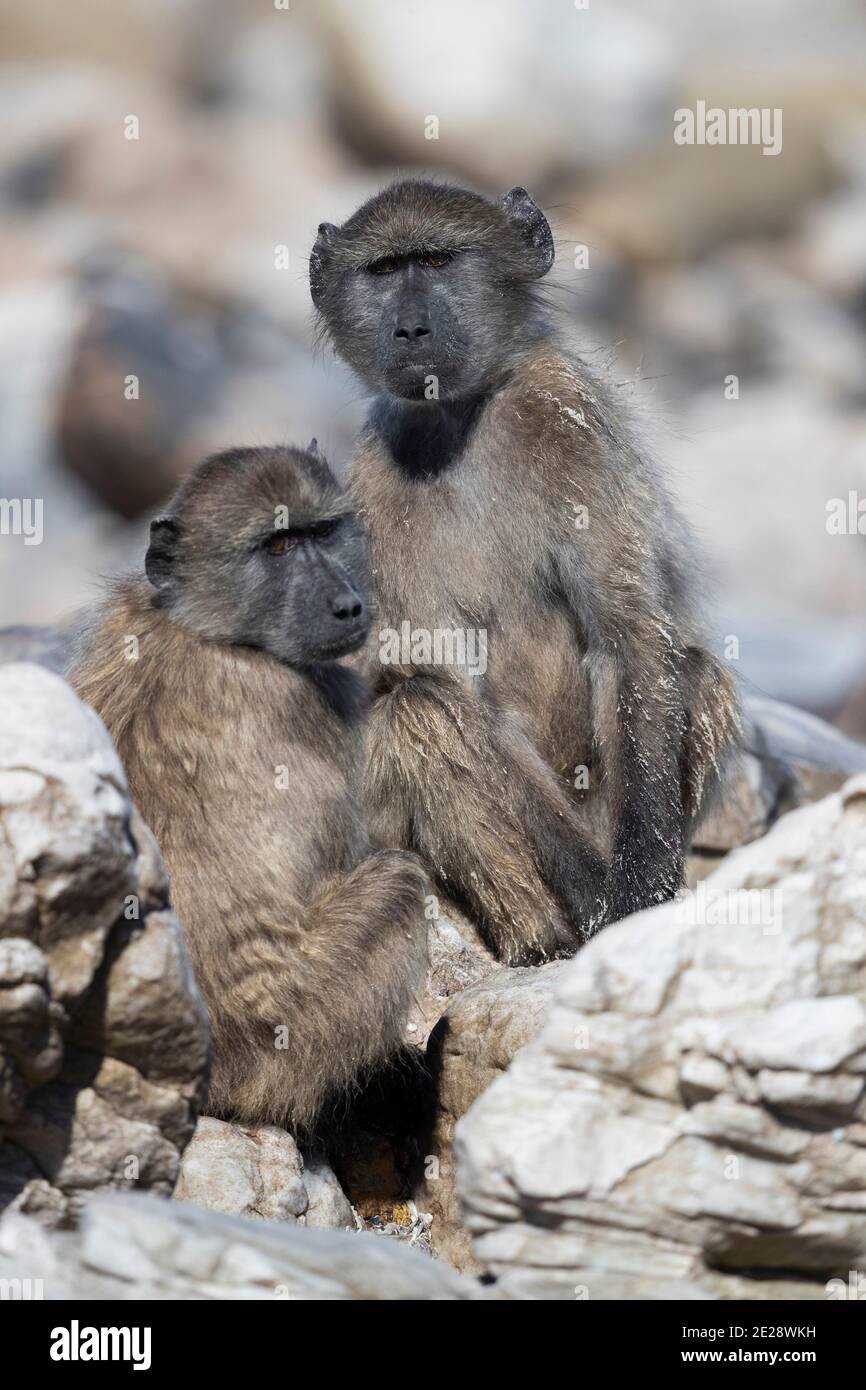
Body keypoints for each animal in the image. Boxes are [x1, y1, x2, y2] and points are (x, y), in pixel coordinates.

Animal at [69, 444, 429, 1135]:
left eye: (323, 531)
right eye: (278, 546)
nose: (347, 607)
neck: (210, 630)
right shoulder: (313, 701)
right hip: (287, 1041)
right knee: (401, 884)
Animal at [310, 179, 741, 965]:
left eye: (438, 260)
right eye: (384, 270)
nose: (411, 331)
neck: (462, 417)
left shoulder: (573, 427)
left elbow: (628, 636)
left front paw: (639, 893)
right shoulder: (375, 498)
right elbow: (459, 690)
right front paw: (605, 907)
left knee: (695, 672)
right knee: (419, 708)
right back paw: (538, 938)